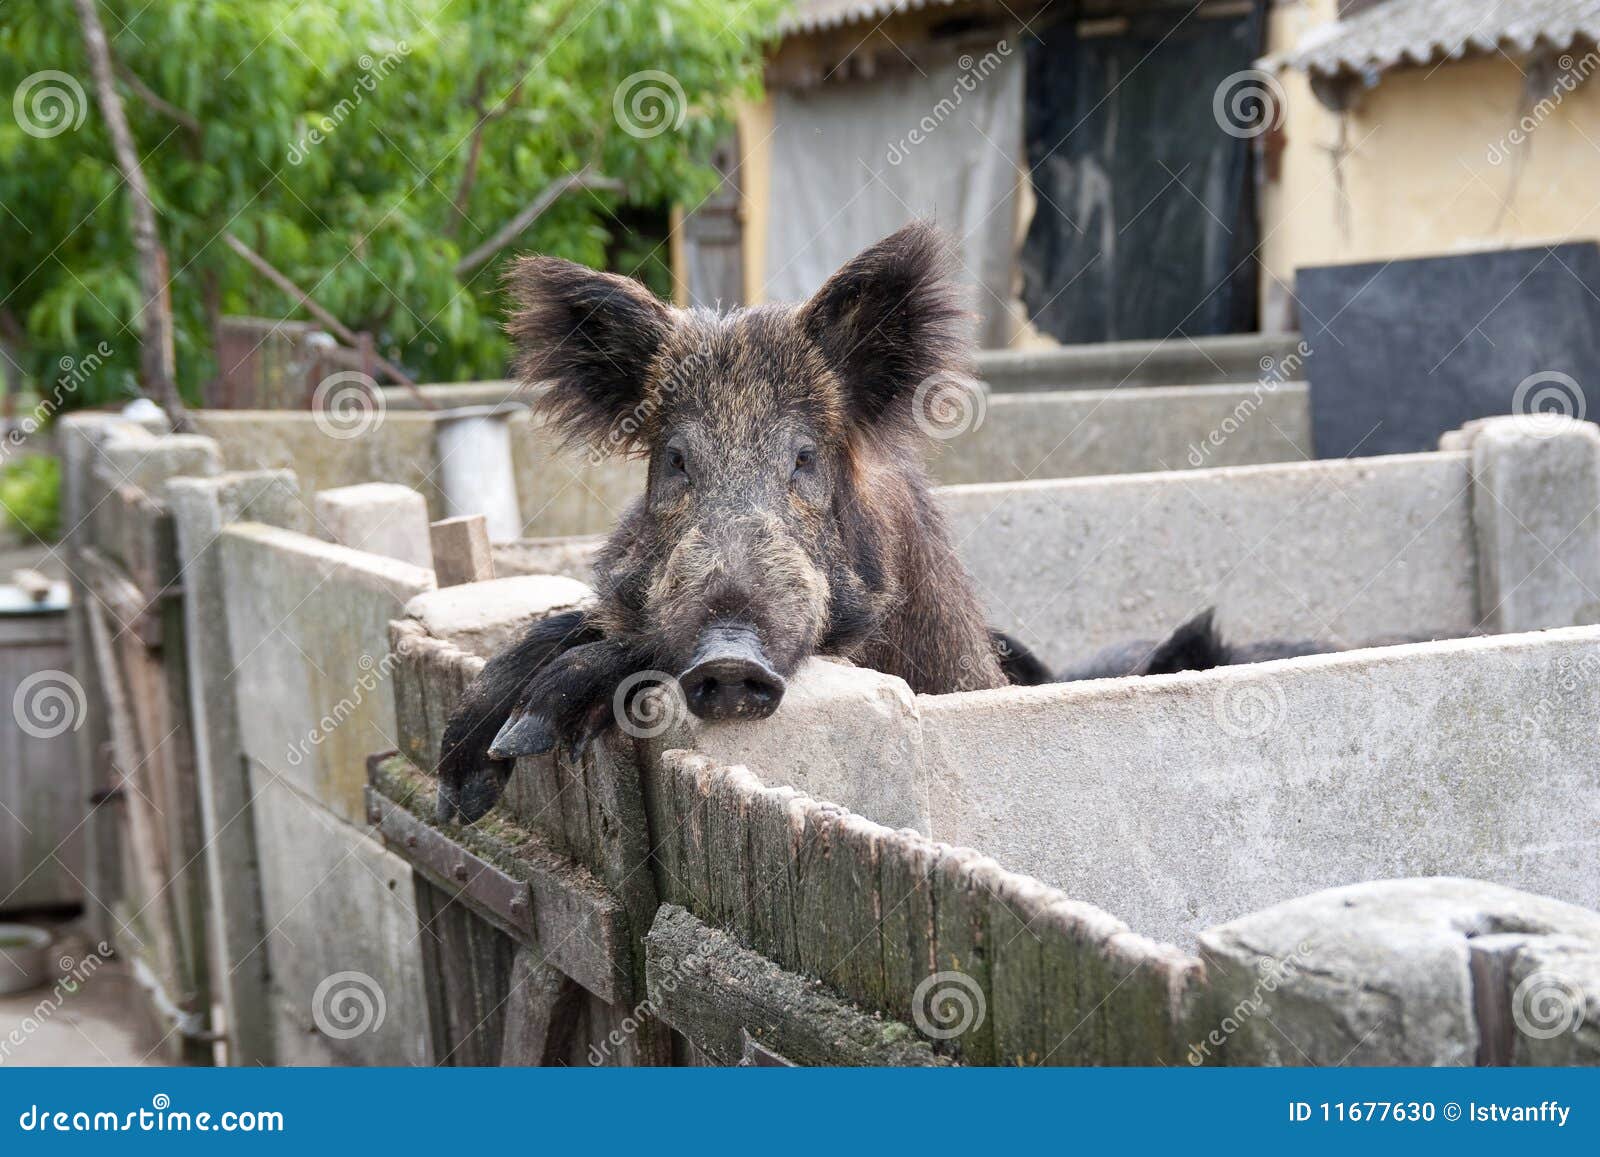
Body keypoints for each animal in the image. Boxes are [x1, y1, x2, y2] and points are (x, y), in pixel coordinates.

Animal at [438, 222, 1030, 822]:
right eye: (676, 459)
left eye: (803, 458)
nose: (727, 654)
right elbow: (566, 624)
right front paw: (461, 791)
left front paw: (522, 733)